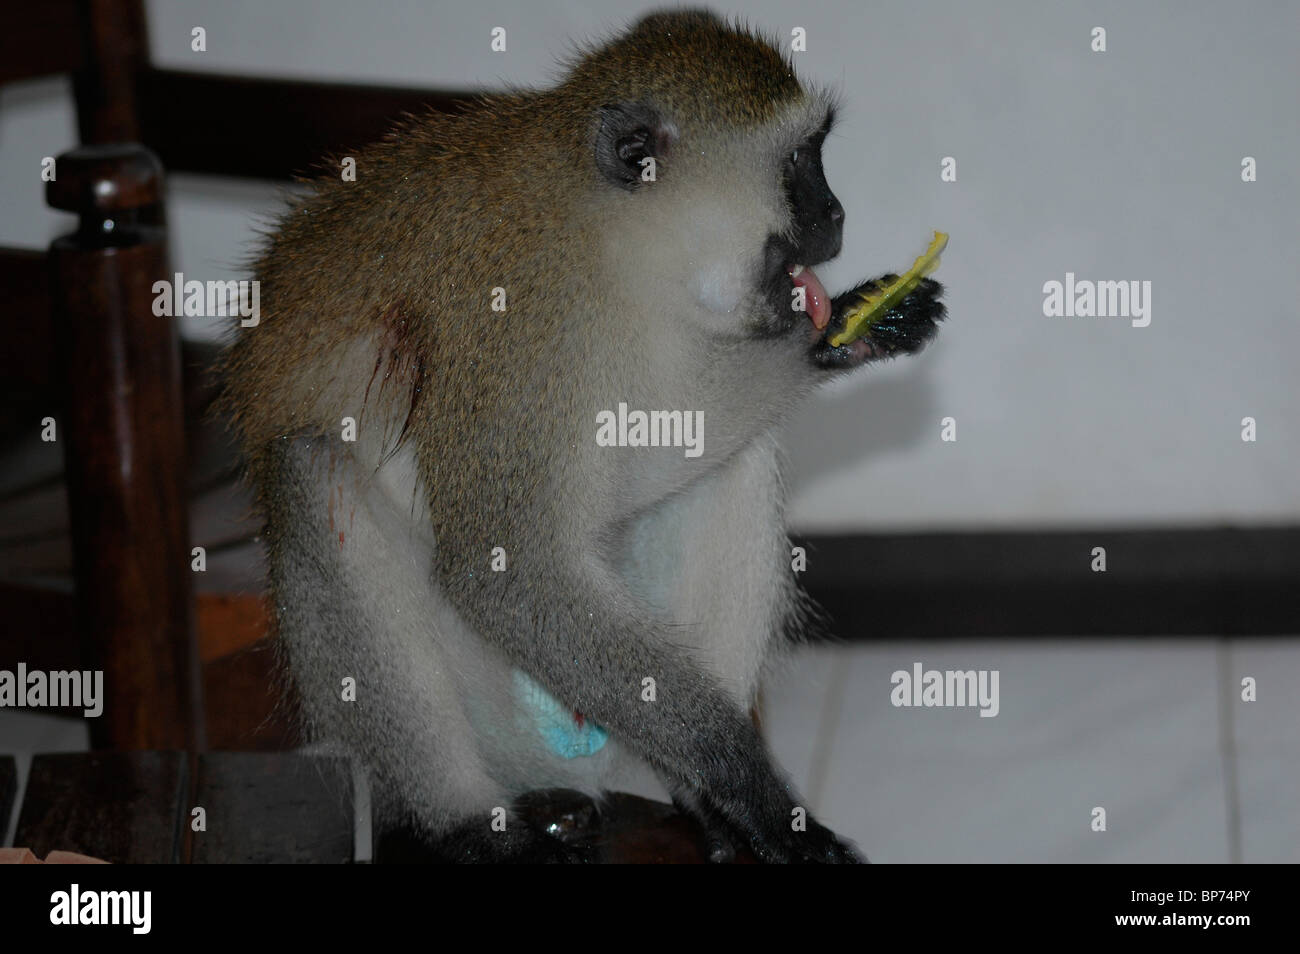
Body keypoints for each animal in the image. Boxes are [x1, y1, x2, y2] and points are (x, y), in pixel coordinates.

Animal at [218, 10, 945, 863]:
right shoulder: (526, 326)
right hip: (488, 712)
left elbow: (653, 454)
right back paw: (473, 825)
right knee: (314, 469)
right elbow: (513, 571)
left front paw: (842, 335)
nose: (837, 215)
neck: (610, 244)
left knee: (735, 459)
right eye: (801, 160)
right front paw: (750, 779)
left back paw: (701, 804)